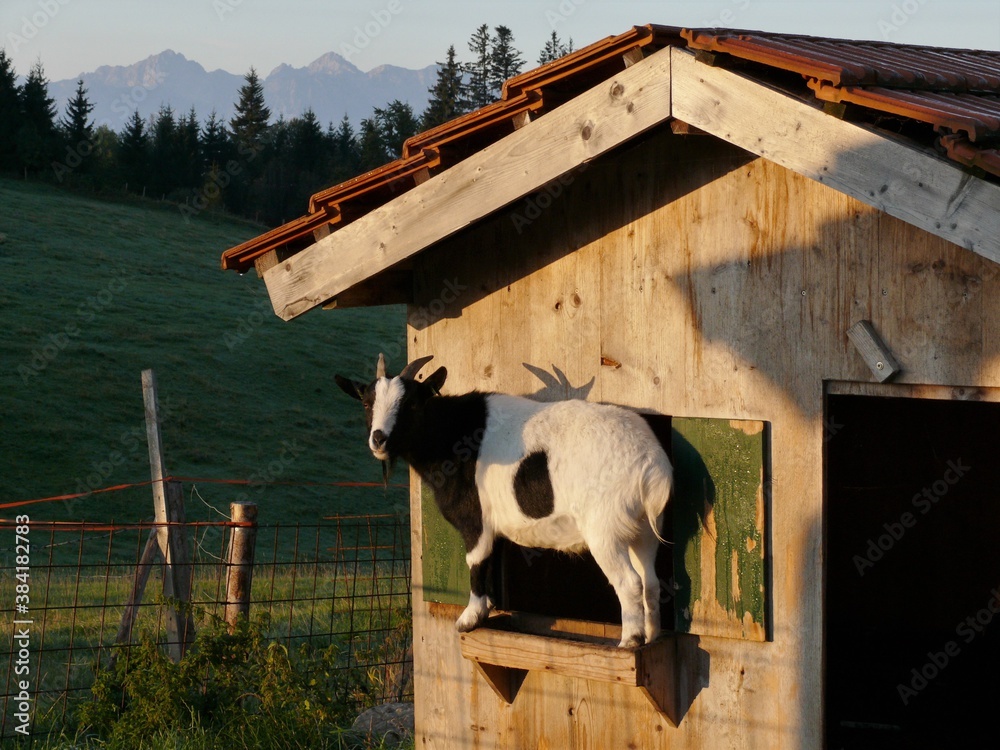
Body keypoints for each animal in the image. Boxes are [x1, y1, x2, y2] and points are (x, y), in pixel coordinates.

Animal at [336, 354, 673, 648]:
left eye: (411, 404)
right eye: (366, 402)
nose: (379, 439)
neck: (452, 435)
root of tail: (651, 467)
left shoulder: (475, 518)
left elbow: (476, 561)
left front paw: (469, 618)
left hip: (604, 529)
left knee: (630, 581)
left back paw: (629, 641)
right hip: (643, 529)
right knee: (651, 580)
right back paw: (651, 636)